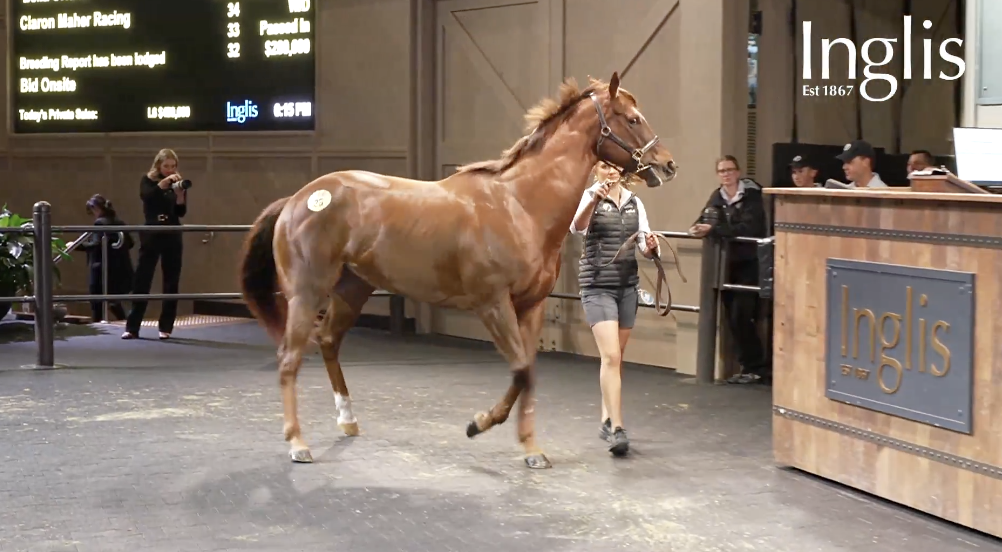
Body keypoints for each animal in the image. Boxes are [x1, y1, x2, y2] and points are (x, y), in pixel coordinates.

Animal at [238, 72, 678, 469]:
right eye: (633, 119)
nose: (668, 165)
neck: (520, 206)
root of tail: (297, 199)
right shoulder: (492, 304)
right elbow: (520, 371)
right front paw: (478, 424)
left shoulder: (531, 307)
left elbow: (529, 375)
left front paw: (531, 449)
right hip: (307, 293)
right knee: (290, 357)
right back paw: (298, 444)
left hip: (353, 289)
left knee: (328, 340)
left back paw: (348, 421)